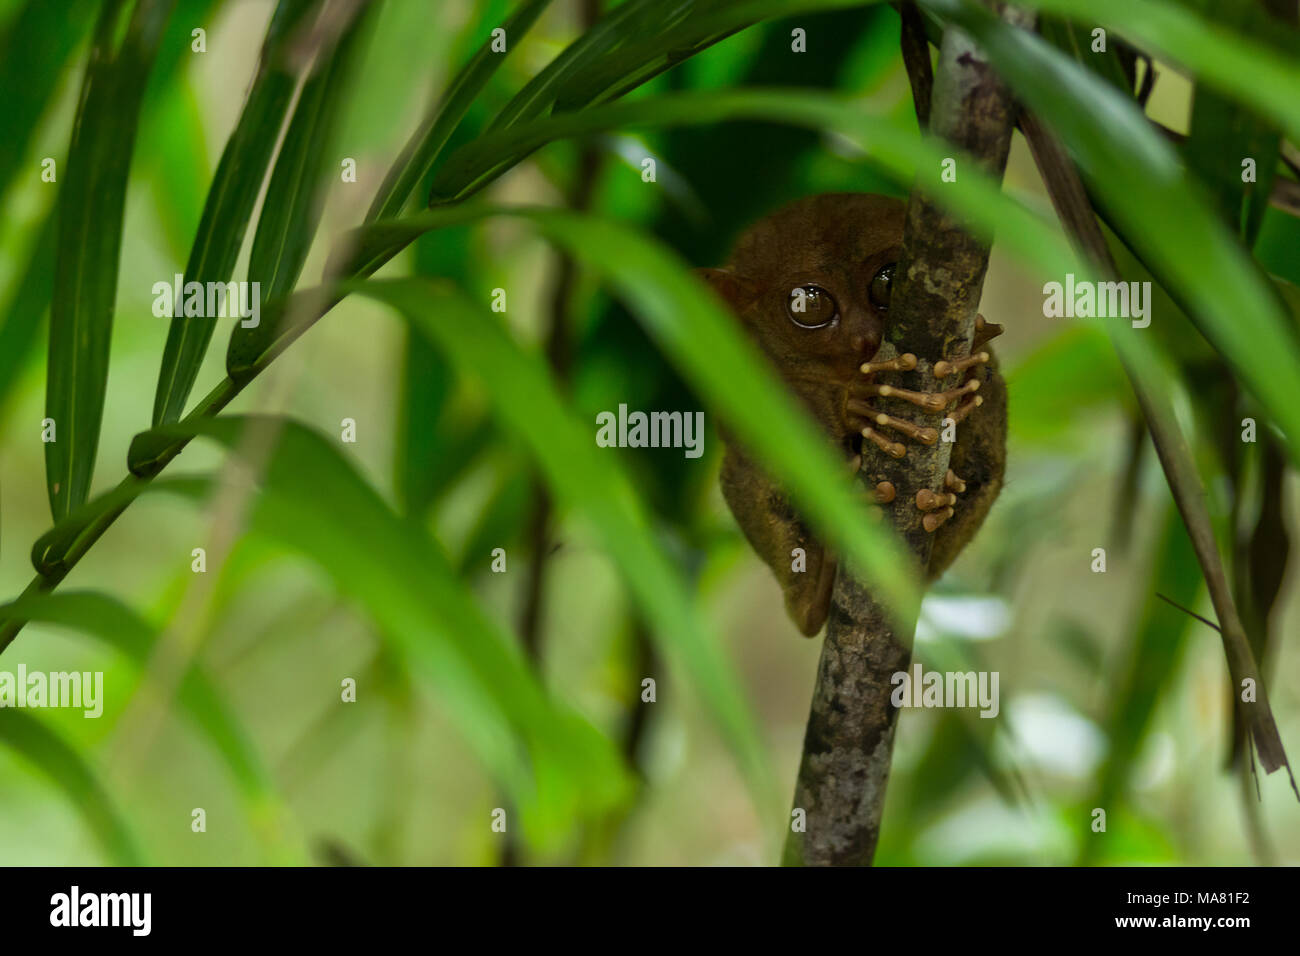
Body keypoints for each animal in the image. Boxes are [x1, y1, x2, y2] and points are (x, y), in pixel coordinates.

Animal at [699, 193, 1006, 637]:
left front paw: (971, 378)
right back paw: (813, 592)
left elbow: (989, 386)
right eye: (808, 305)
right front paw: (856, 403)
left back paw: (942, 500)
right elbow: (754, 423)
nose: (864, 335)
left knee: (987, 466)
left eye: (889, 282)